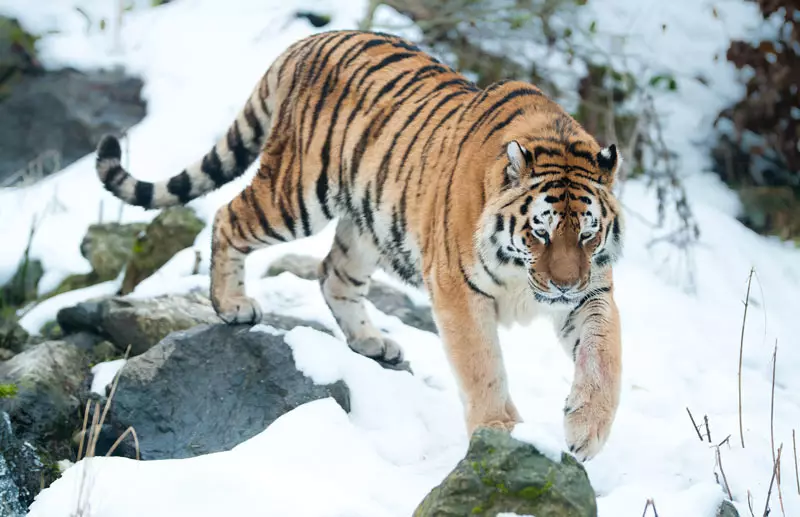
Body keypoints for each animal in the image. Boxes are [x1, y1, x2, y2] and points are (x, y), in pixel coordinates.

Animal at [97, 29, 624, 460]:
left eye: (587, 233)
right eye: (540, 231)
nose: (563, 286)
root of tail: (308, 41)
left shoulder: (592, 290)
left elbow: (604, 356)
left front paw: (586, 432)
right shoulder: (458, 289)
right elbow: (483, 365)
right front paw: (498, 427)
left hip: (369, 220)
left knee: (333, 274)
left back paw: (372, 342)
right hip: (295, 195)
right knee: (229, 215)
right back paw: (232, 305)